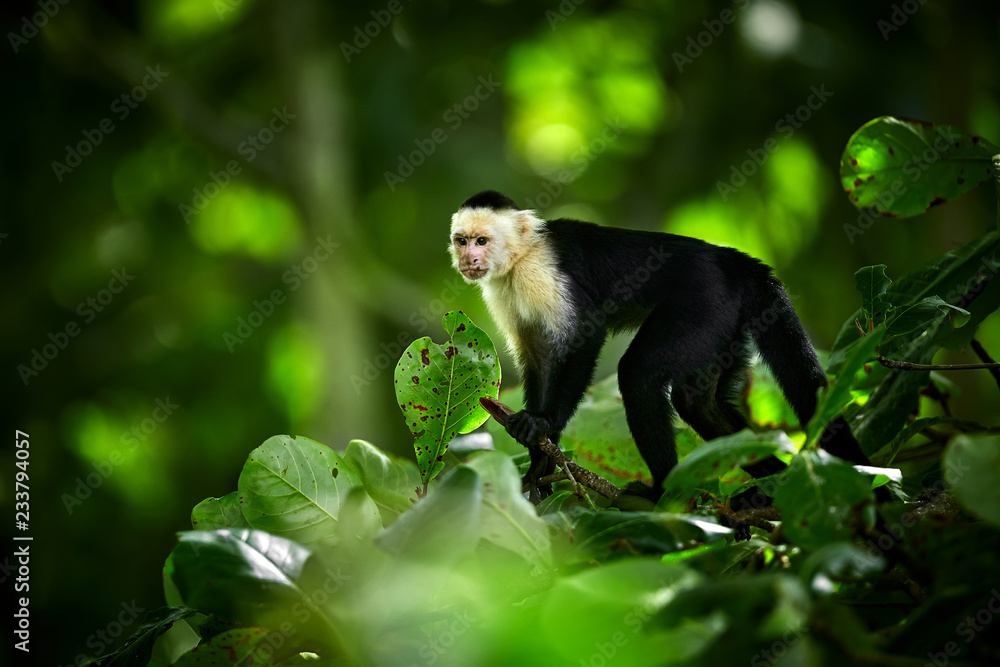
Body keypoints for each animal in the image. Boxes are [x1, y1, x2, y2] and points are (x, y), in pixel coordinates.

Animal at [448, 190, 873, 503]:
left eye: (482, 240)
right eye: (462, 241)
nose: (469, 258)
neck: (519, 258)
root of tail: (733, 261)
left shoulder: (542, 273)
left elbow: (586, 333)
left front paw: (543, 424)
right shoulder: (502, 291)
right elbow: (535, 358)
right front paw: (540, 459)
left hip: (703, 304)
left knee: (639, 375)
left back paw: (663, 493)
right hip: (724, 323)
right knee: (699, 402)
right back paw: (765, 491)